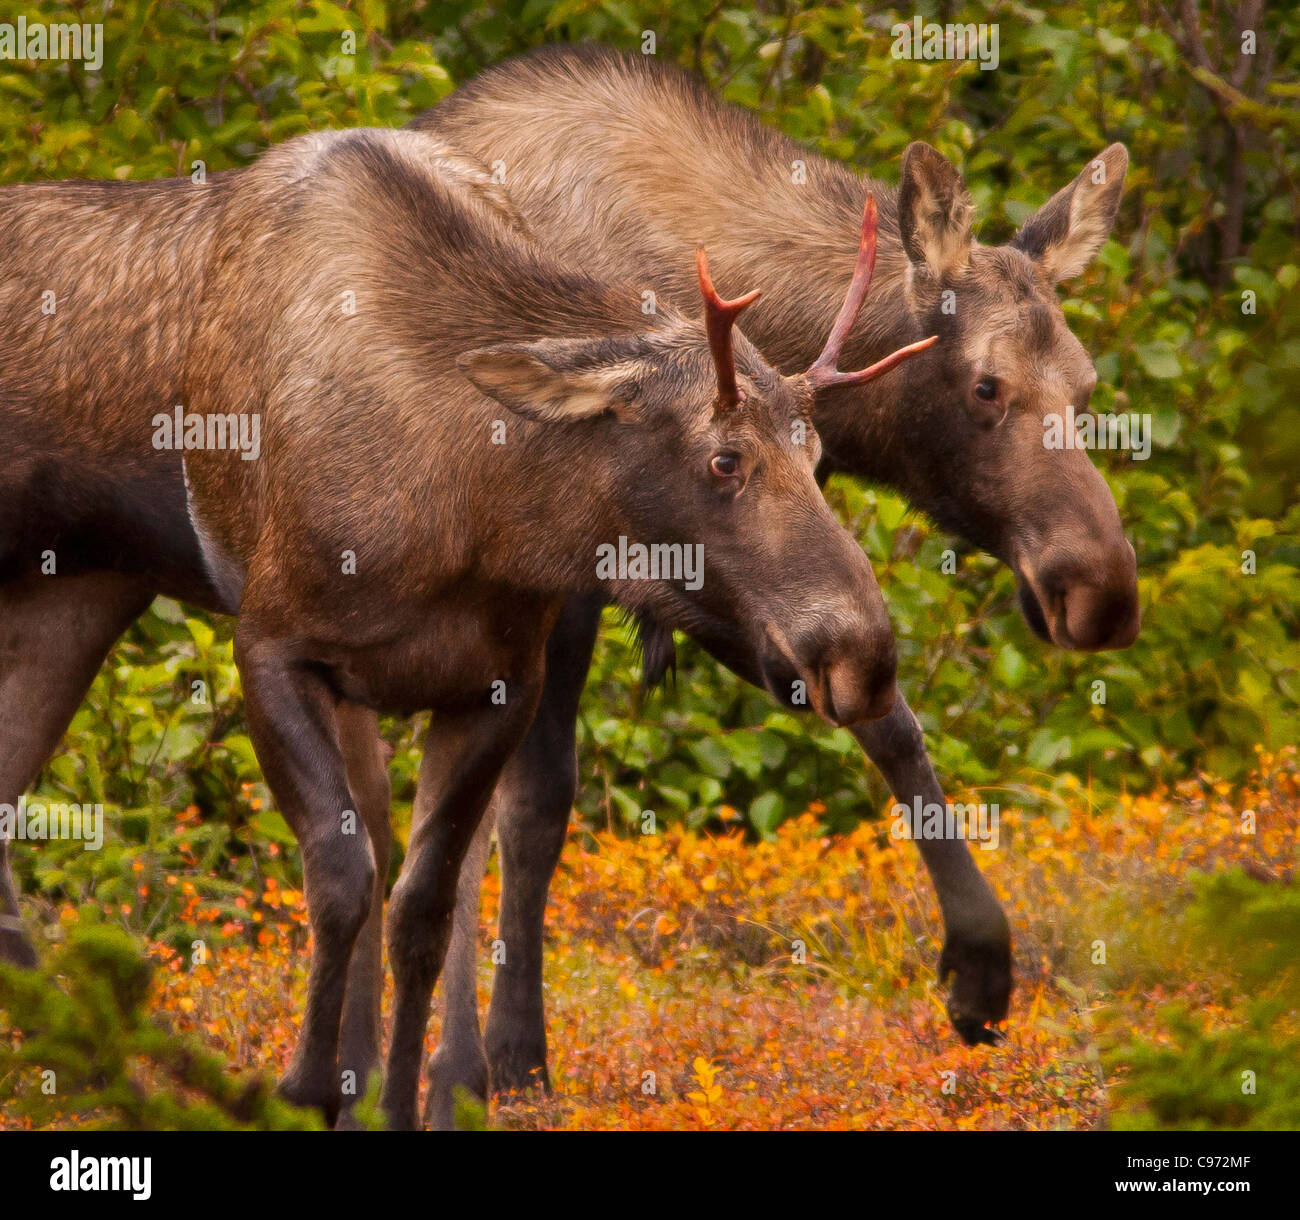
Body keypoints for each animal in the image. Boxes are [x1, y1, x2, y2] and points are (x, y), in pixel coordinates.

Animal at [408, 42, 1140, 1122]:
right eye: (986, 386)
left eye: (1086, 389)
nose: (1102, 589)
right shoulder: (566, 582)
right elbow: (524, 811)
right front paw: (489, 1061)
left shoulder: (747, 581)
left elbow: (889, 721)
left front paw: (980, 966)